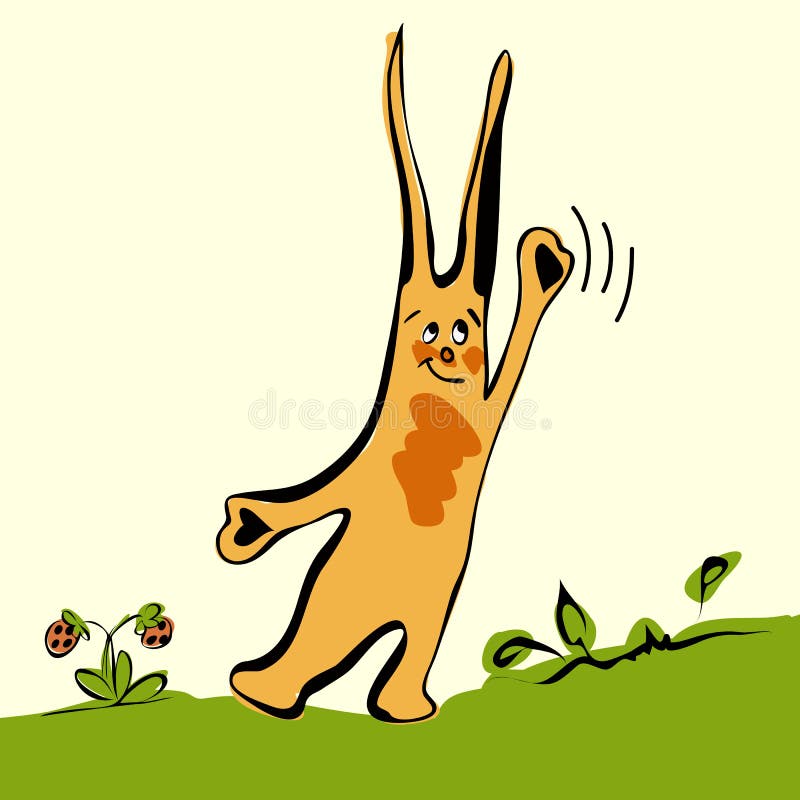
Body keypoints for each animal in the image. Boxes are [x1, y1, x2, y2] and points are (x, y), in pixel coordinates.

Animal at [216, 27, 574, 723]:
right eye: (428, 332)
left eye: (463, 331)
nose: (447, 358)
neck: (435, 413)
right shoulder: (357, 479)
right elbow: (302, 505)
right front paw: (247, 525)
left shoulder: (489, 403)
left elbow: (514, 353)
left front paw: (543, 266)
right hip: (336, 599)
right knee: (314, 644)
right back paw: (263, 693)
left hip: (427, 617)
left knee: (405, 654)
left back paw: (400, 707)